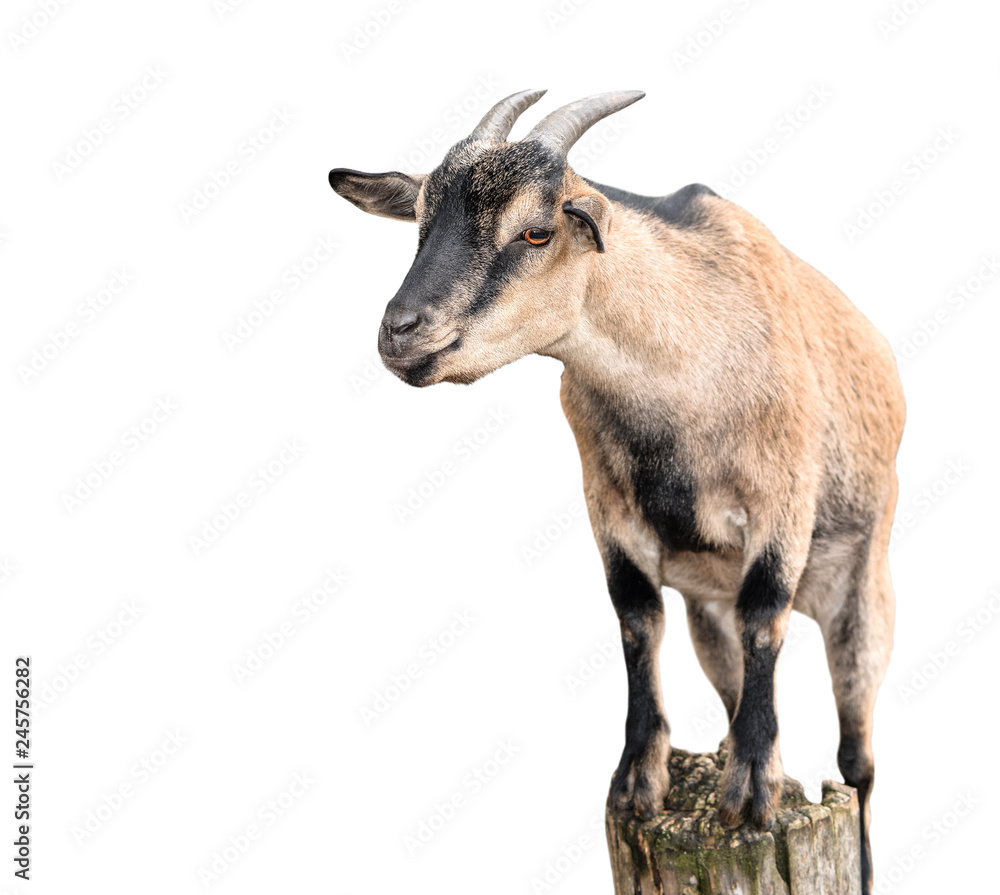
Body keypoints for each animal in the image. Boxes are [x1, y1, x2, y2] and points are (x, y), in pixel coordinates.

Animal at [329, 90, 904, 894]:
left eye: (537, 229)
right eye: (420, 219)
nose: (401, 332)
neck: (683, 369)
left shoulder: (782, 498)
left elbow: (765, 616)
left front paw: (752, 795)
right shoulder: (609, 506)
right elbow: (635, 620)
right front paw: (637, 782)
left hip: (863, 591)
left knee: (858, 760)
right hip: (708, 613)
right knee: (730, 682)